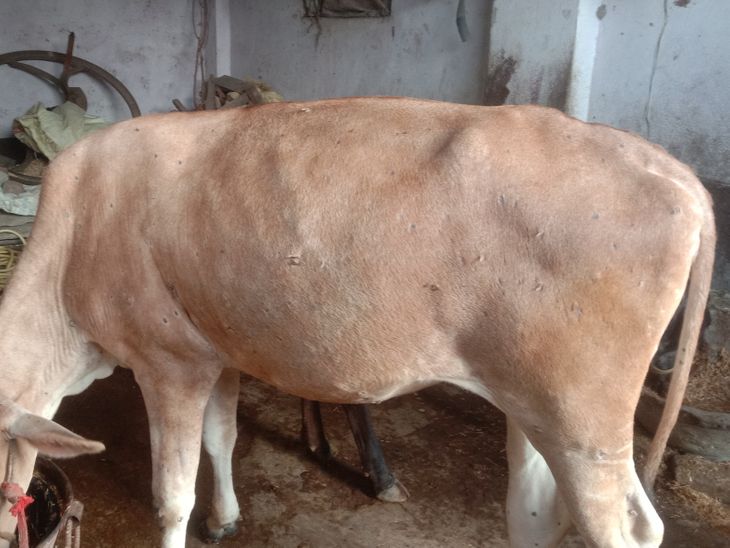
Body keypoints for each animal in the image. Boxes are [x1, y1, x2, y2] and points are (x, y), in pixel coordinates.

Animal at [0, 97, 714, 547]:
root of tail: (674, 173)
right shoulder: (214, 351)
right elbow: (221, 439)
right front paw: (226, 519)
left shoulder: (168, 360)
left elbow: (171, 496)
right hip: (532, 406)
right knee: (534, 515)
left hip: (584, 422)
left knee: (628, 527)